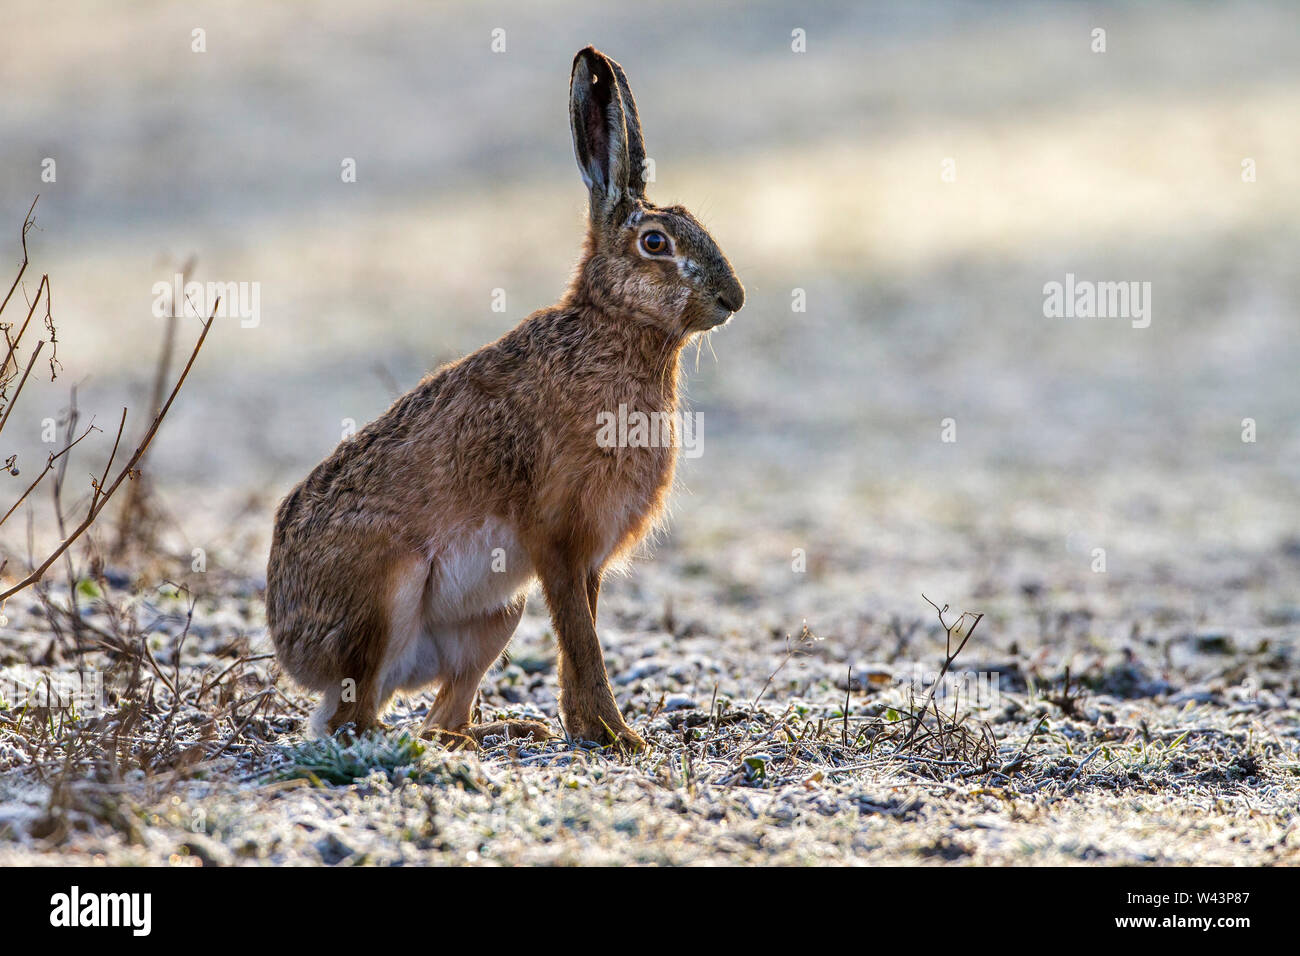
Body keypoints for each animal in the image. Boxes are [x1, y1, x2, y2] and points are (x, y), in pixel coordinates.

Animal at [266, 46, 744, 751]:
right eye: (656, 242)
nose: (733, 299)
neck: (615, 327)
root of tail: (289, 645)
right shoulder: (556, 535)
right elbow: (582, 639)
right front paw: (617, 736)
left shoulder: (584, 556)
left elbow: (581, 636)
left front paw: (589, 728)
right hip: (385, 592)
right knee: (353, 718)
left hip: (499, 614)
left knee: (442, 709)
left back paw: (495, 734)